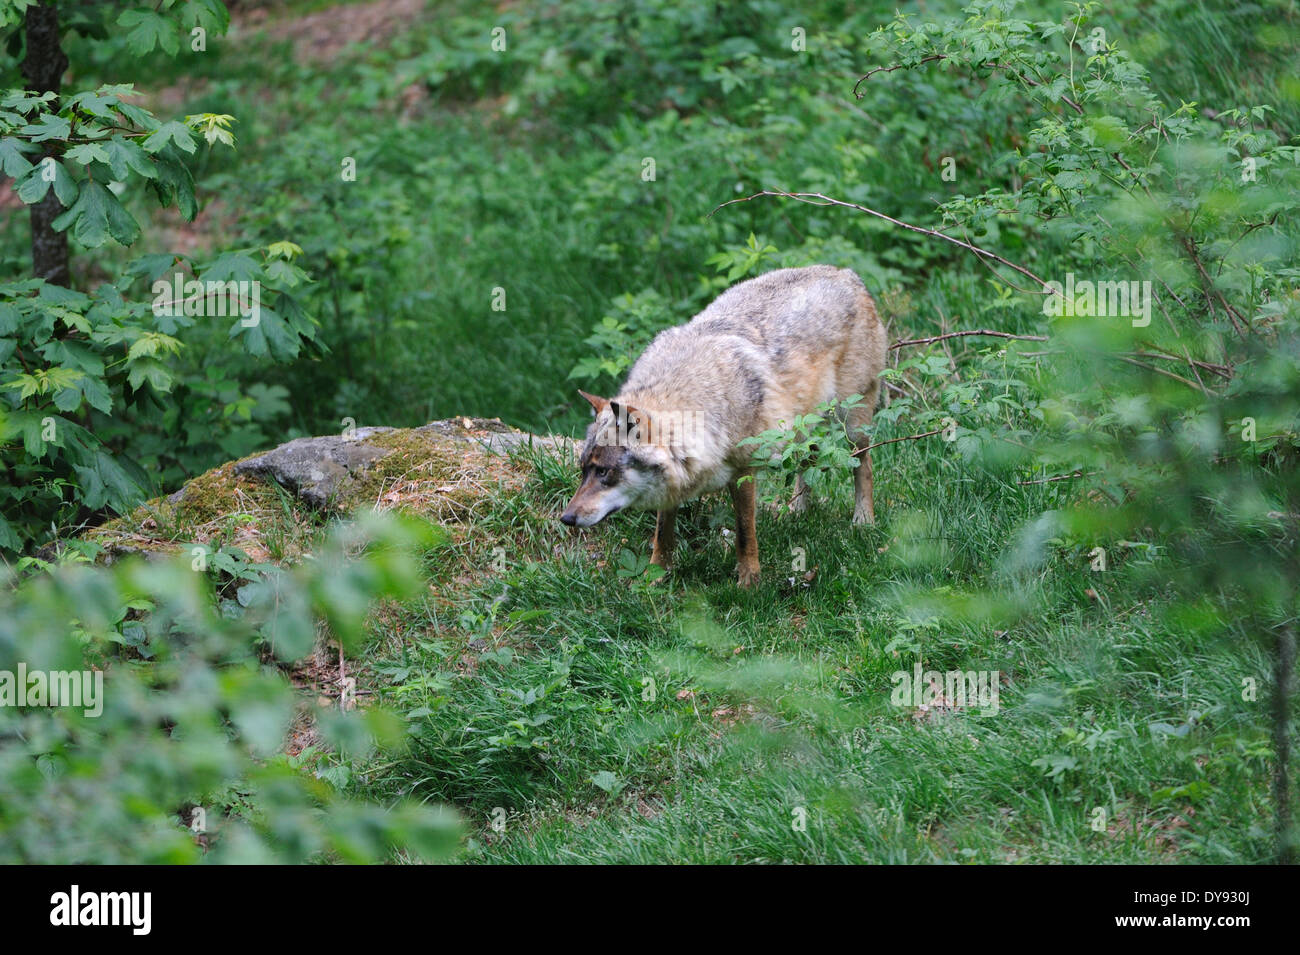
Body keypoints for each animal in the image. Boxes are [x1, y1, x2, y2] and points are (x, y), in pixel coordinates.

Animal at [560, 265, 888, 586]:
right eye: (583, 470)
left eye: (604, 472)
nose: (566, 519)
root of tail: (847, 273)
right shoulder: (674, 484)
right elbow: (662, 535)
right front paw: (655, 576)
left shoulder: (744, 472)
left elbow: (745, 534)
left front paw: (749, 583)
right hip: (804, 429)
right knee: (807, 465)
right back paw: (797, 512)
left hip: (851, 424)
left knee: (864, 467)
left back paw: (863, 521)